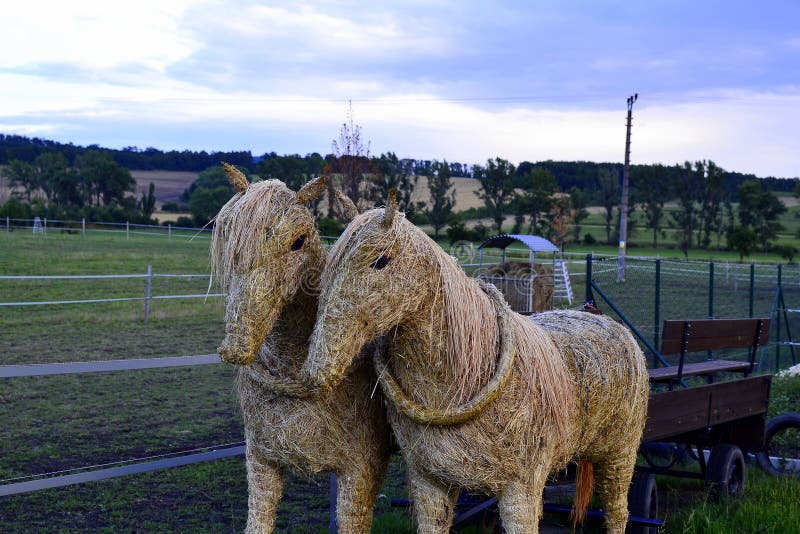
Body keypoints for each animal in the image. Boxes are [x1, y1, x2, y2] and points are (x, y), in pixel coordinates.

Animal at [300, 191, 649, 533]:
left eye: (380, 260)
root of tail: (606, 320)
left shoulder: (521, 489)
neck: (461, 376)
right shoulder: (429, 482)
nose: (316, 367)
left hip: (619, 455)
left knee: (618, 514)